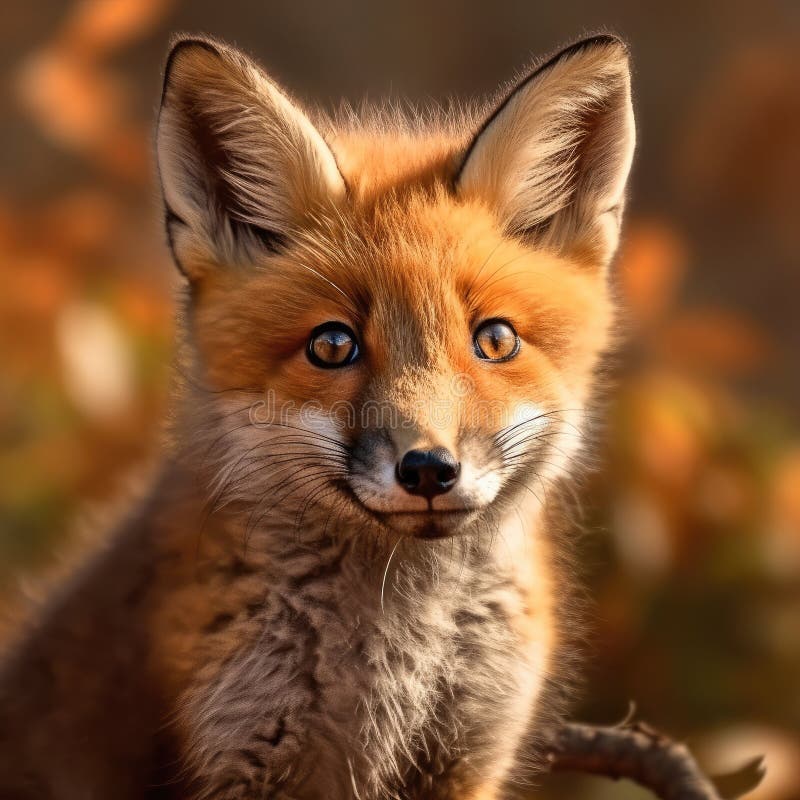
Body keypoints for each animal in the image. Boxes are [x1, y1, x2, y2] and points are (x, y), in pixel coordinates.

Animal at [0, 32, 635, 800]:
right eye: (333, 345)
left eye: (495, 341)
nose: (430, 469)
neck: (401, 661)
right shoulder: (244, 758)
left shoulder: (465, 758)